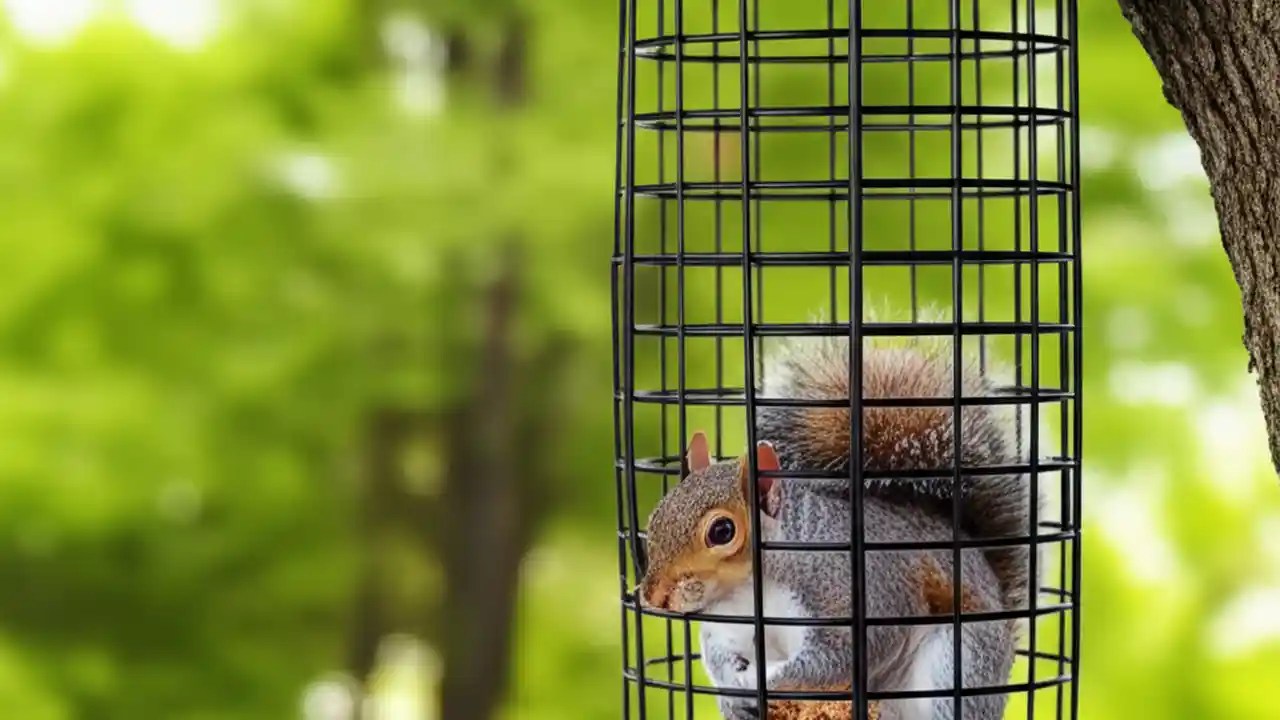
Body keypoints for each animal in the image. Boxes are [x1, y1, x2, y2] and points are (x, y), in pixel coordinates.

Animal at [638, 337, 1035, 720]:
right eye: (655, 517)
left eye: (722, 532)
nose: (652, 596)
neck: (748, 589)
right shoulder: (727, 627)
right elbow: (721, 658)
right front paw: (731, 698)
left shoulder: (847, 589)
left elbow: (835, 659)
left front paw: (760, 680)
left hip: (959, 660)